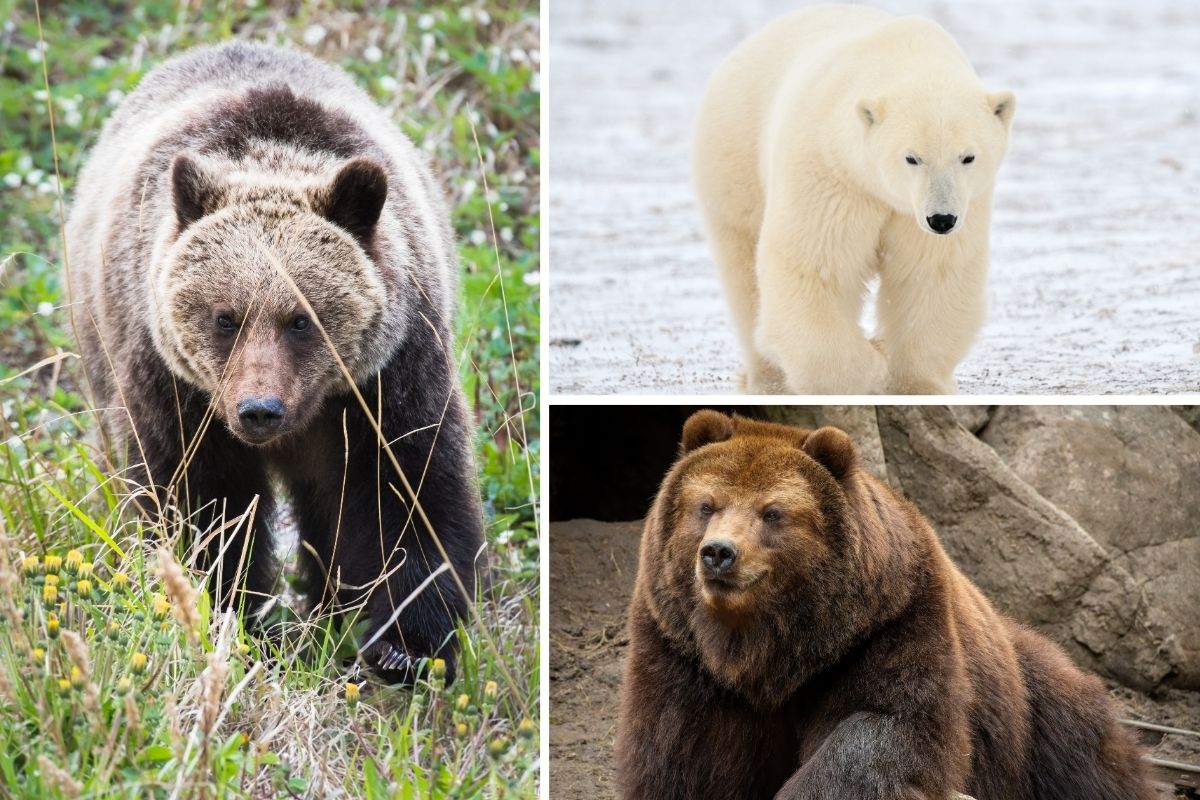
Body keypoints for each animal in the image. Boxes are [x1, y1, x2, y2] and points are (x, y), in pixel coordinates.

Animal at [65, 42, 483, 683]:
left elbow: (407, 489)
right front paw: (228, 617)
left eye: (301, 319)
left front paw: (404, 644)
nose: (259, 409)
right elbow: (198, 507)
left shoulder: (388, 378)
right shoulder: (172, 389)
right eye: (225, 316)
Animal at [615, 410, 1153, 800]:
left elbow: (886, 727)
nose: (719, 553)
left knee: (1083, 751)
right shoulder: (682, 652)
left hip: (1028, 706)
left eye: (773, 512)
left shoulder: (889, 625)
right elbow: (684, 757)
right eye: (706, 504)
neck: (766, 653)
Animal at [692, 6, 1014, 395]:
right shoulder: (833, 174)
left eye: (968, 157)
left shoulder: (945, 207)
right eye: (912, 158)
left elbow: (930, 273)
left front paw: (916, 384)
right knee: (742, 265)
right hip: (735, 153)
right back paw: (768, 379)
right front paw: (871, 367)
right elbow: (814, 266)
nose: (941, 219)